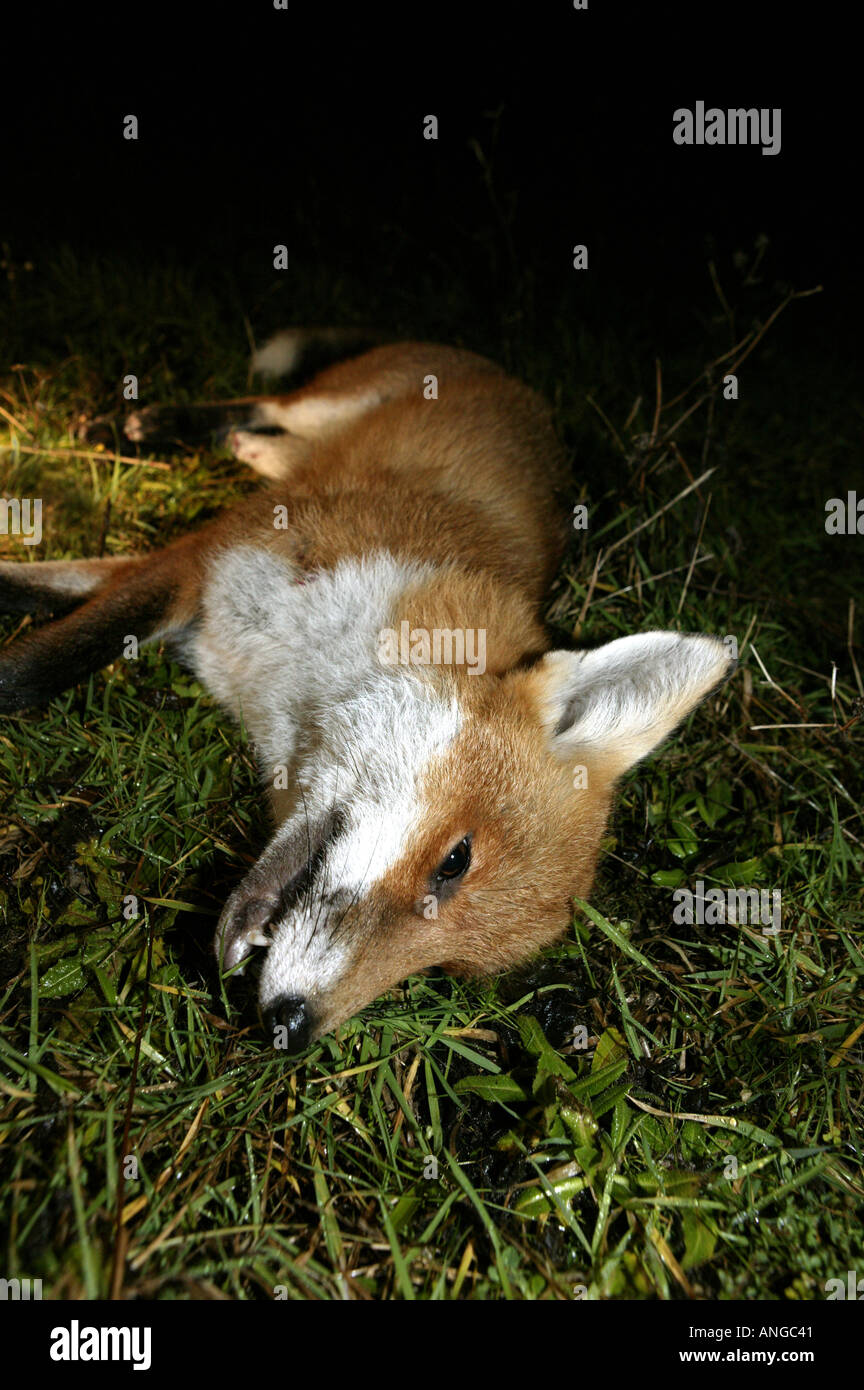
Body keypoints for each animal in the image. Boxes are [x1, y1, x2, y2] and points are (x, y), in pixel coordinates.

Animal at [0, 336, 735, 1052]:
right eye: (455, 860)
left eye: (440, 970)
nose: (291, 1029)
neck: (280, 681)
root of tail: (517, 384)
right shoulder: (207, 558)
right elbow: (35, 667)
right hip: (327, 403)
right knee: (262, 404)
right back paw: (138, 424)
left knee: (264, 437)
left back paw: (228, 445)